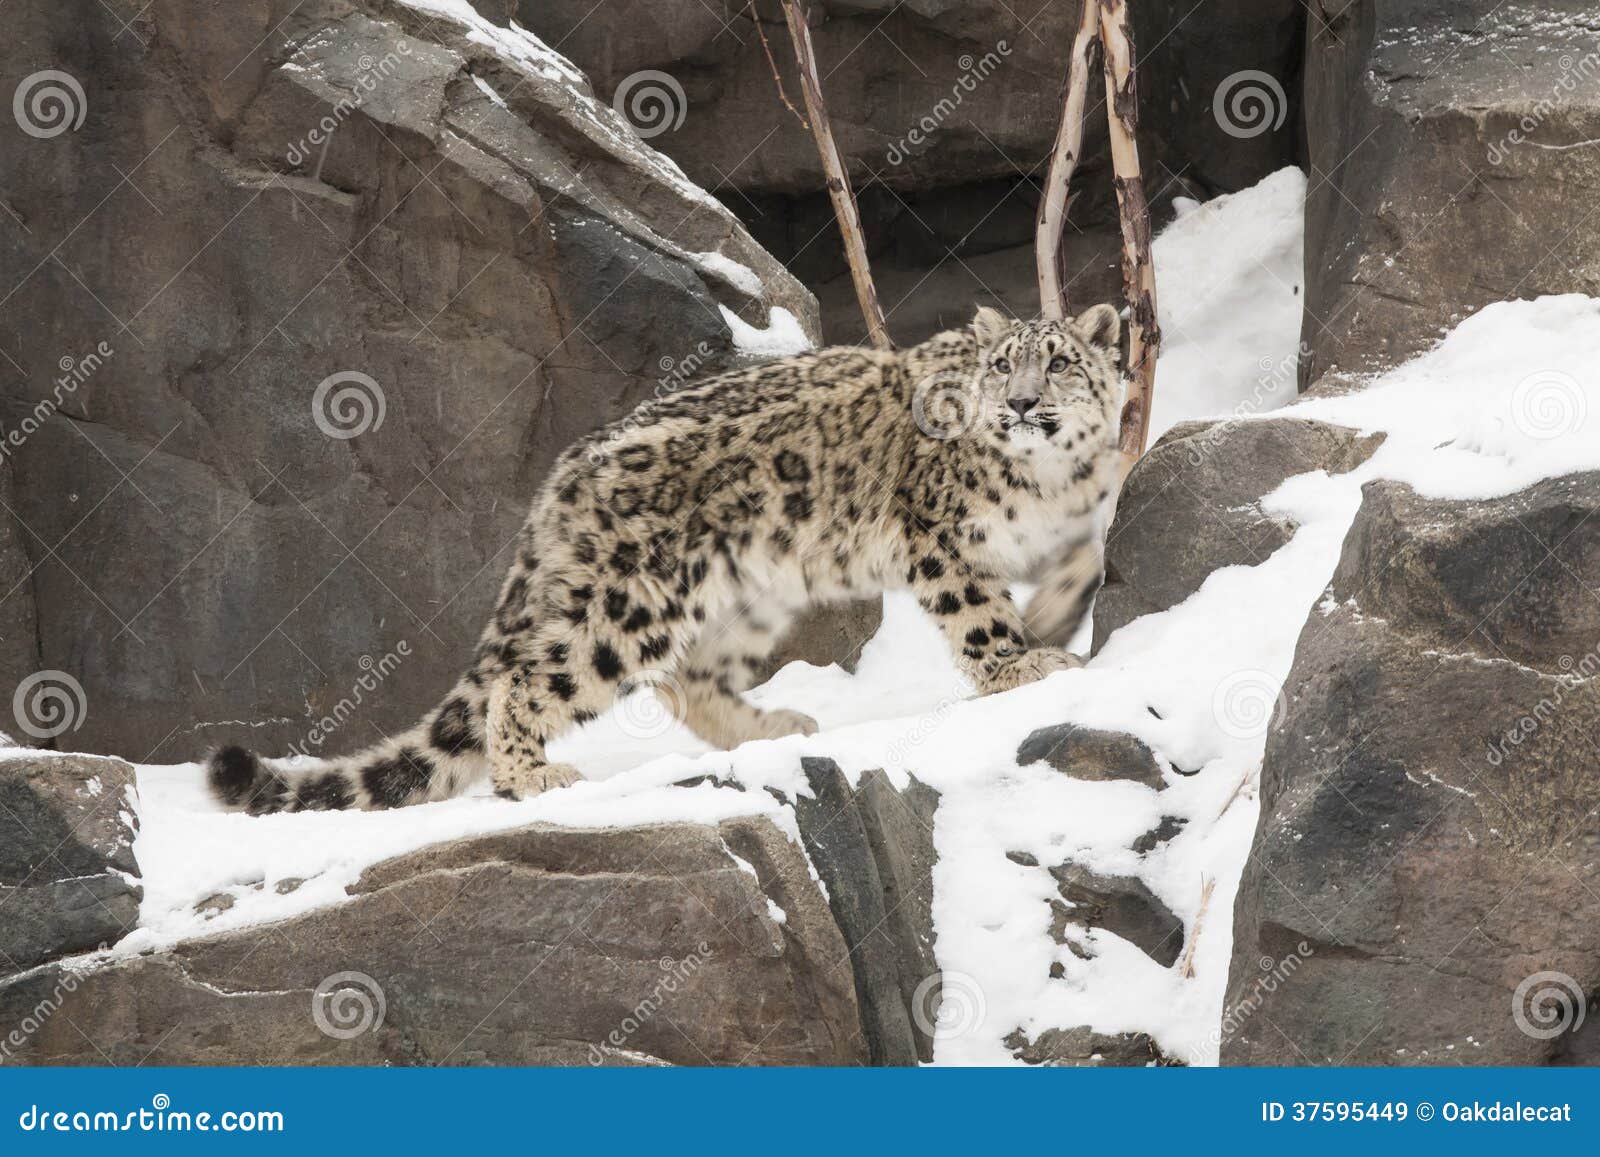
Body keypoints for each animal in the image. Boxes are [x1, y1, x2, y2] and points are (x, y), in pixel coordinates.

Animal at [208, 303, 1124, 813]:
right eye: (1003, 364)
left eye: (1059, 362)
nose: (1023, 404)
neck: (1046, 479)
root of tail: (563, 476)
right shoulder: (938, 534)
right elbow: (978, 613)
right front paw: (1021, 664)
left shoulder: (1079, 513)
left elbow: (1087, 556)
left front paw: (1052, 617)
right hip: (629, 605)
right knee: (528, 680)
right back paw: (533, 777)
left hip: (748, 594)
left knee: (688, 677)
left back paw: (773, 725)